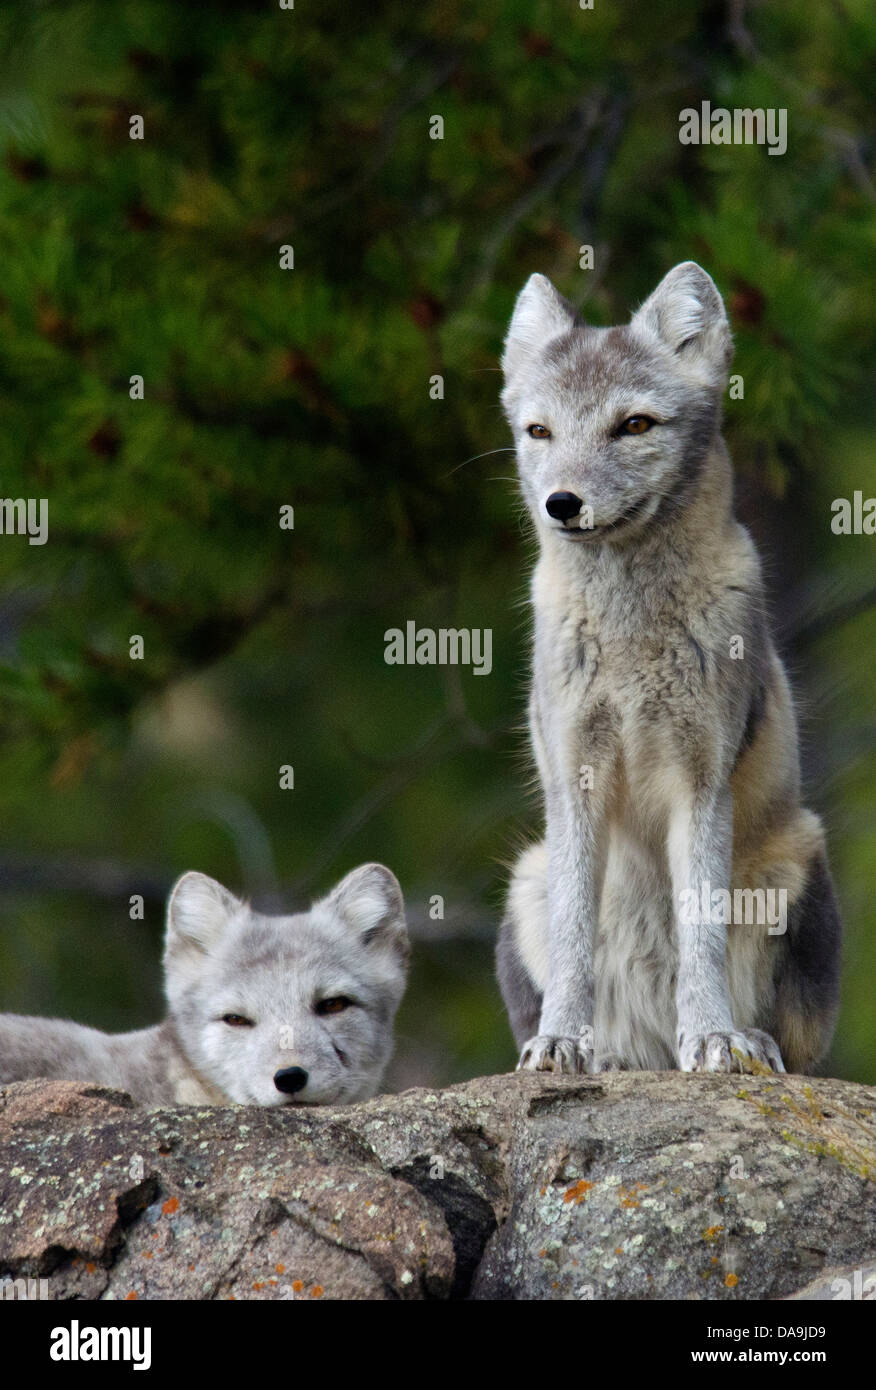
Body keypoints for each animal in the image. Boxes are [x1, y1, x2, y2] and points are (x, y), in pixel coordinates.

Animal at [495, 262, 842, 1076]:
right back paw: (610, 1057)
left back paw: (745, 1044)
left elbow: (702, 937)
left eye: (634, 426)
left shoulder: (701, 780)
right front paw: (561, 1042)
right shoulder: (575, 783)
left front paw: (713, 1037)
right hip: (527, 876)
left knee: (790, 1045)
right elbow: (575, 944)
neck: (630, 639)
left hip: (796, 863)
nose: (562, 503)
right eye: (539, 432)